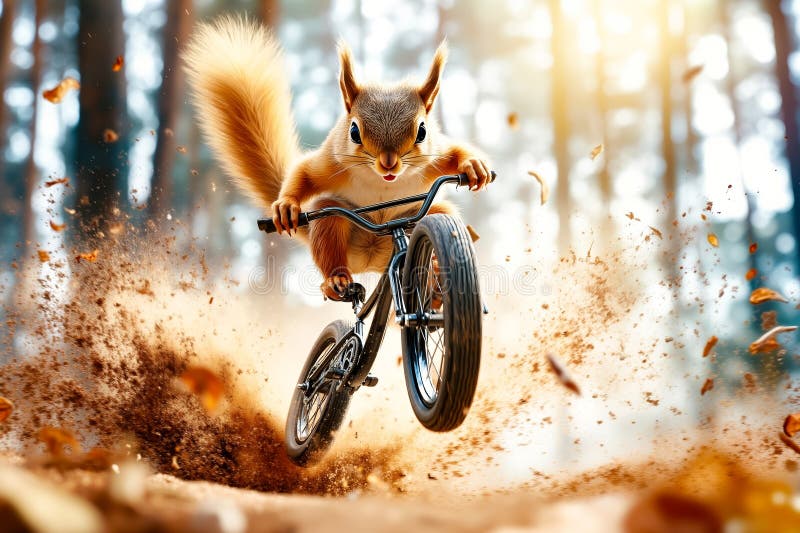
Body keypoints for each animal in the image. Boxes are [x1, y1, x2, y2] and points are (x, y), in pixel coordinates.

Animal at [183, 16, 491, 300]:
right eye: (354, 131)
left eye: (423, 131)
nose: (388, 163)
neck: (384, 183)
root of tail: (373, 258)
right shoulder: (333, 163)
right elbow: (306, 173)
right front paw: (286, 206)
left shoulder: (433, 158)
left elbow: (454, 153)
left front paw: (474, 167)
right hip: (331, 220)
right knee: (330, 234)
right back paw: (335, 281)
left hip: (421, 215)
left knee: (441, 214)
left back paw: (437, 275)